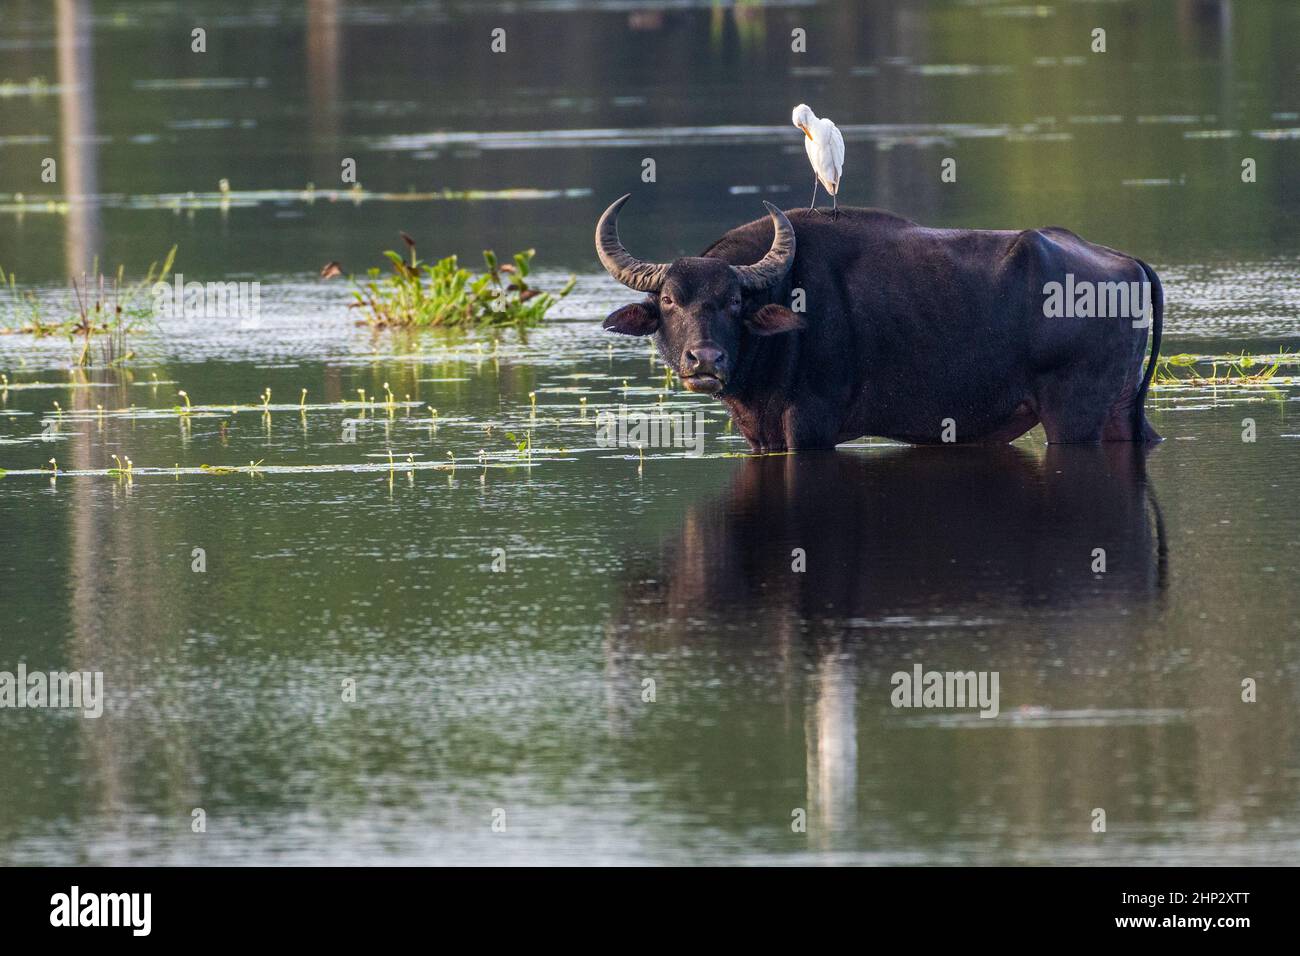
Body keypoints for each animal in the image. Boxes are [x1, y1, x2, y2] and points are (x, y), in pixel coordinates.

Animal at [595, 196, 1163, 451]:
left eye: (734, 300)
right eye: (670, 300)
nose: (706, 360)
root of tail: (1125, 263)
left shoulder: (810, 426)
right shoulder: (760, 437)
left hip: (1074, 417)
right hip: (1120, 409)